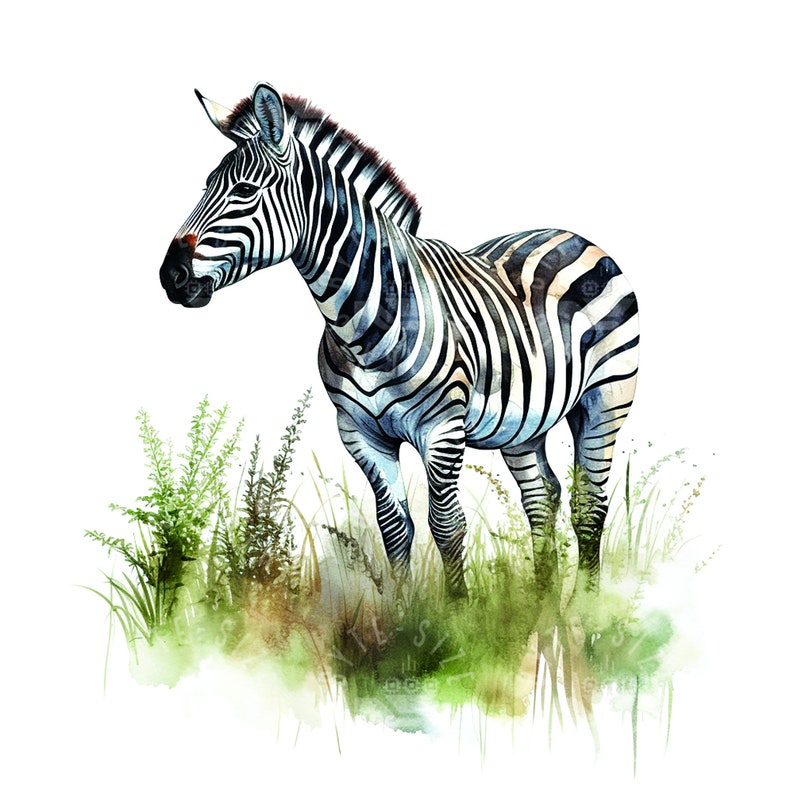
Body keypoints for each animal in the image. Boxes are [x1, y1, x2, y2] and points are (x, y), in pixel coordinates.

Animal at [160, 82, 639, 598]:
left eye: (245, 191)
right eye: (205, 187)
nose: (170, 276)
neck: (360, 325)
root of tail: (570, 234)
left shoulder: (442, 428)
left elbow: (446, 525)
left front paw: (456, 611)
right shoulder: (360, 432)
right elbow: (394, 528)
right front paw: (404, 615)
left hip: (606, 399)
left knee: (590, 505)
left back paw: (584, 608)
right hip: (525, 423)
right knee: (541, 498)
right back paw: (541, 604)